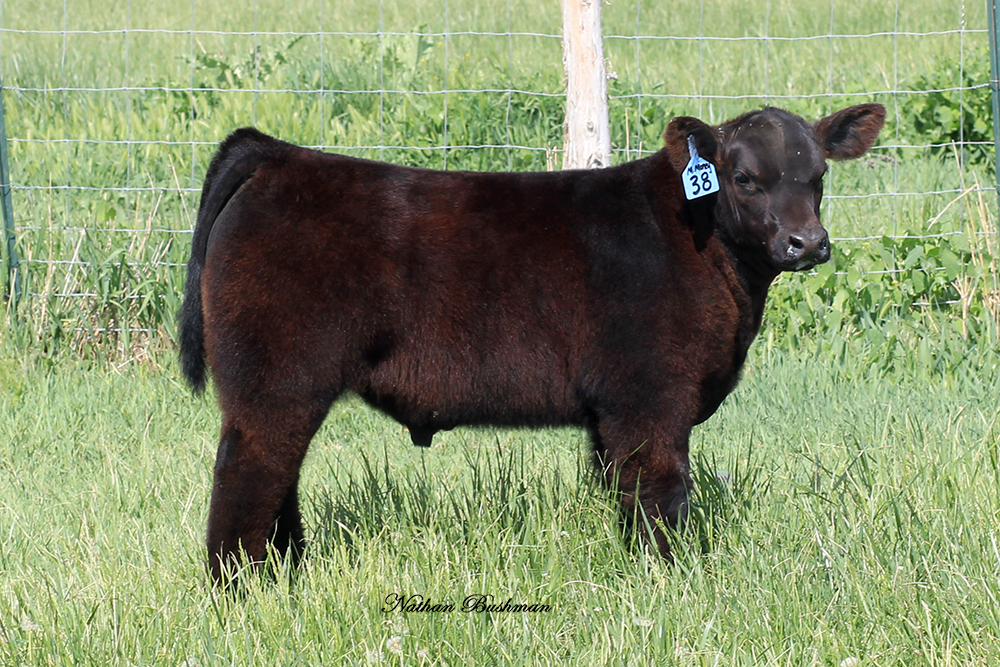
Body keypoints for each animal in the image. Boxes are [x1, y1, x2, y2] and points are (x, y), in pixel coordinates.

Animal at [179, 103, 885, 583]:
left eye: (819, 176)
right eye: (743, 178)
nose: (806, 242)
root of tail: (280, 154)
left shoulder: (613, 411)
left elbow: (618, 488)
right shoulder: (650, 397)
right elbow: (660, 493)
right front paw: (669, 579)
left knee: (279, 478)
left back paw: (285, 576)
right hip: (274, 382)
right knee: (246, 476)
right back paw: (238, 591)